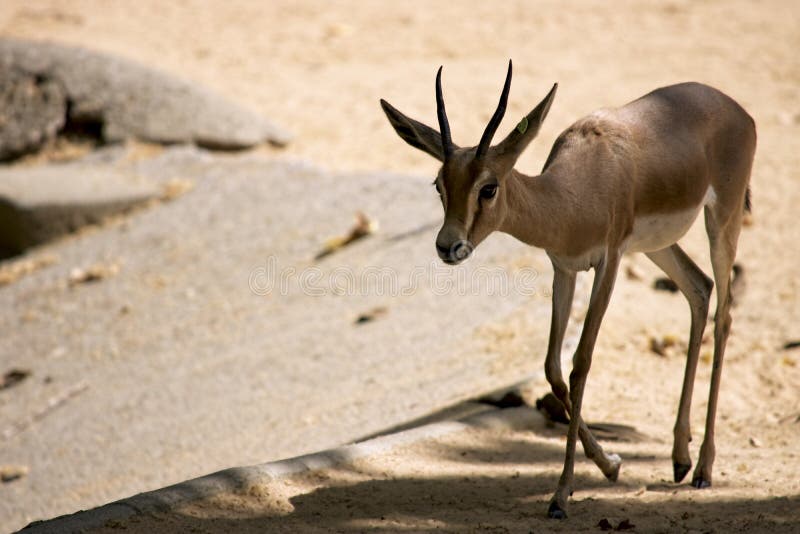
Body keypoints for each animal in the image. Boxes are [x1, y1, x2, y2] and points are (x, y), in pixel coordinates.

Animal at [380, 61, 755, 519]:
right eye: (439, 184)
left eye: (488, 186)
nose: (448, 245)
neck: (574, 196)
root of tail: (734, 107)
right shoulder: (564, 268)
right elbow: (552, 368)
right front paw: (611, 465)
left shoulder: (609, 263)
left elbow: (581, 363)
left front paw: (561, 495)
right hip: (658, 246)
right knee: (699, 289)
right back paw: (680, 459)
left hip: (723, 220)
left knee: (724, 314)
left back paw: (703, 468)